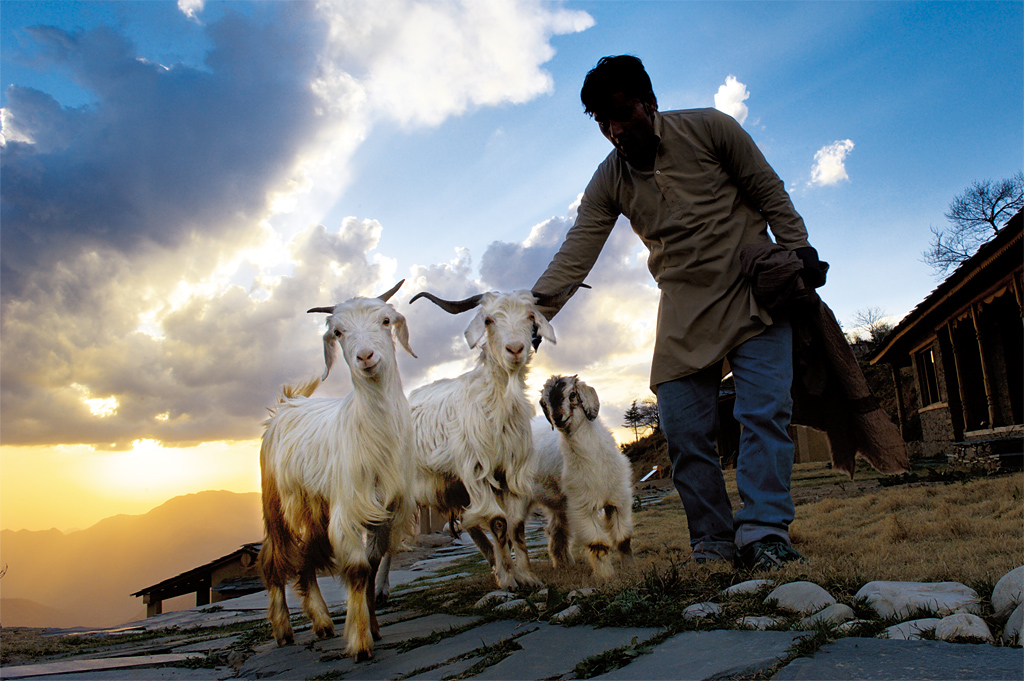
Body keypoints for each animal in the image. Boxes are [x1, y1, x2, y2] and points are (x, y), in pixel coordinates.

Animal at [257, 281, 416, 661]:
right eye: (338, 332)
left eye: (386, 320)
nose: (366, 357)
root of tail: (286, 404)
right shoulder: (348, 507)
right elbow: (357, 570)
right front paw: (360, 643)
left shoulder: (385, 510)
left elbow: (372, 564)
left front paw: (373, 627)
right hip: (276, 504)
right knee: (273, 557)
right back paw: (283, 629)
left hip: (315, 507)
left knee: (305, 557)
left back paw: (322, 621)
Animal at [532, 375, 634, 582]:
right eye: (545, 402)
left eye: (572, 394)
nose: (558, 418)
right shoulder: (582, 507)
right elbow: (598, 544)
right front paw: (605, 576)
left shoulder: (618, 498)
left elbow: (623, 538)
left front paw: (630, 569)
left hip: (558, 505)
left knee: (555, 530)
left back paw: (564, 564)